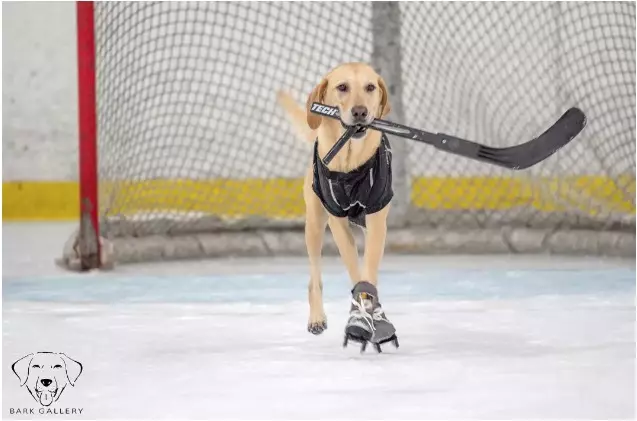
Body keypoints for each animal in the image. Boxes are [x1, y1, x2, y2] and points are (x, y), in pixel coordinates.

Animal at [278, 61, 398, 352]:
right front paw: (360, 316)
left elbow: (368, 271)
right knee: (314, 276)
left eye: (370, 87)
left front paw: (374, 315)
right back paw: (316, 318)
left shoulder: (376, 220)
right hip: (314, 225)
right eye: (342, 87)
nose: (360, 112)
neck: (349, 163)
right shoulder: (337, 220)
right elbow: (355, 271)